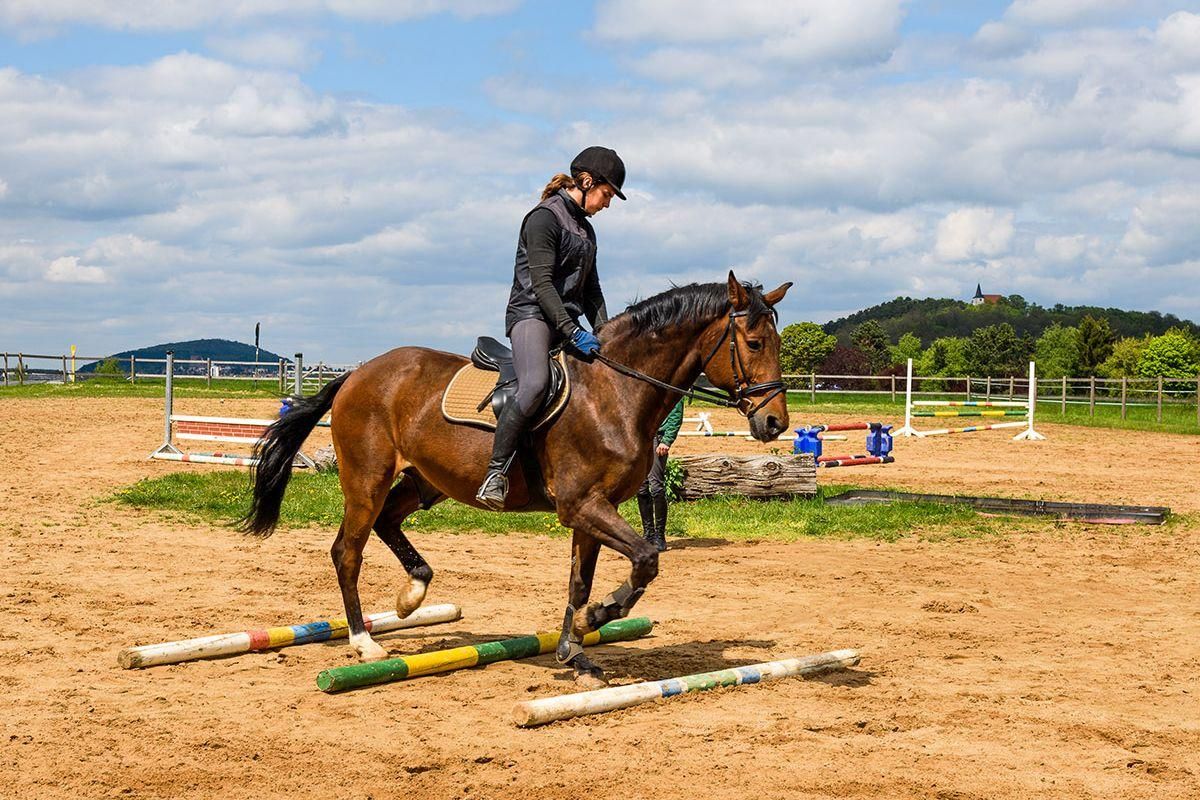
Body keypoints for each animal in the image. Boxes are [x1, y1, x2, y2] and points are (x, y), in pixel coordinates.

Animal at [243, 272, 791, 684]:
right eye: (754, 342)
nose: (775, 424)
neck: (614, 391)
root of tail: (355, 374)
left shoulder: (594, 511)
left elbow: (581, 581)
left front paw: (574, 653)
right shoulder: (582, 506)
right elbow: (645, 560)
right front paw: (594, 621)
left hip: (425, 483)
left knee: (387, 525)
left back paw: (412, 595)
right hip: (367, 479)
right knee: (347, 552)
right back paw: (365, 643)